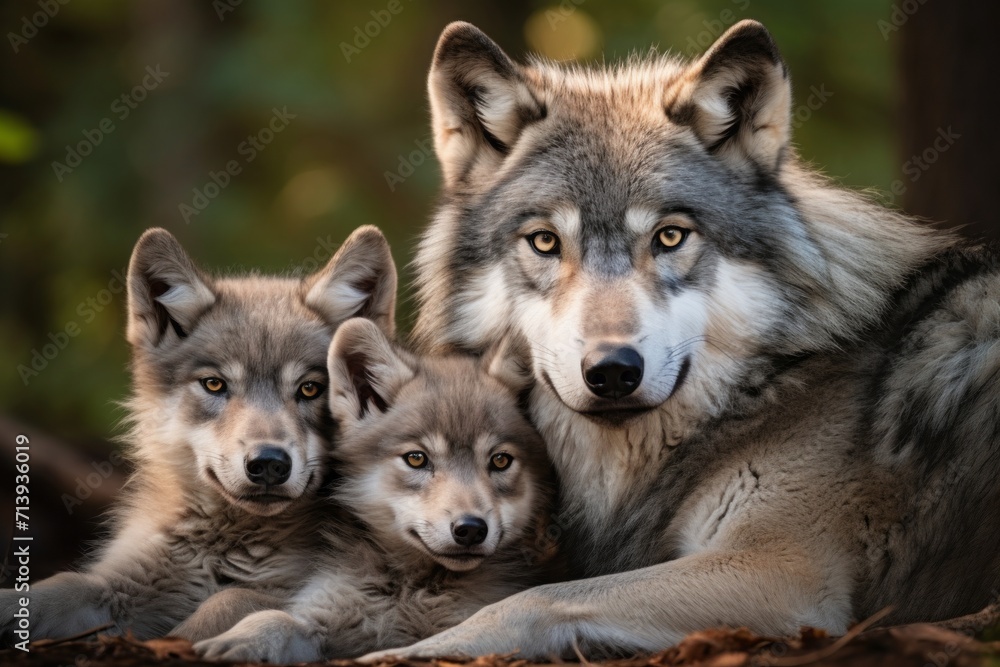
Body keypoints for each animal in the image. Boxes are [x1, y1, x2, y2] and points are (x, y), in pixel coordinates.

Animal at [0, 225, 397, 646]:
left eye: (310, 389)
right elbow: (59, 585)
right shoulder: (121, 585)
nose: (269, 464)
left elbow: (224, 604)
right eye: (214, 384)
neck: (220, 546)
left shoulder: (301, 592)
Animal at [191, 318, 555, 662]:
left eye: (500, 461)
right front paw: (234, 640)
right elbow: (273, 617)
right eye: (416, 458)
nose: (471, 529)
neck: (410, 588)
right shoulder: (322, 615)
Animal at [360, 20, 1000, 662]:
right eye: (544, 242)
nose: (613, 369)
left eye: (669, 237)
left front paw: (389, 653)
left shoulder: (778, 569)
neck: (766, 387)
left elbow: (531, 600)